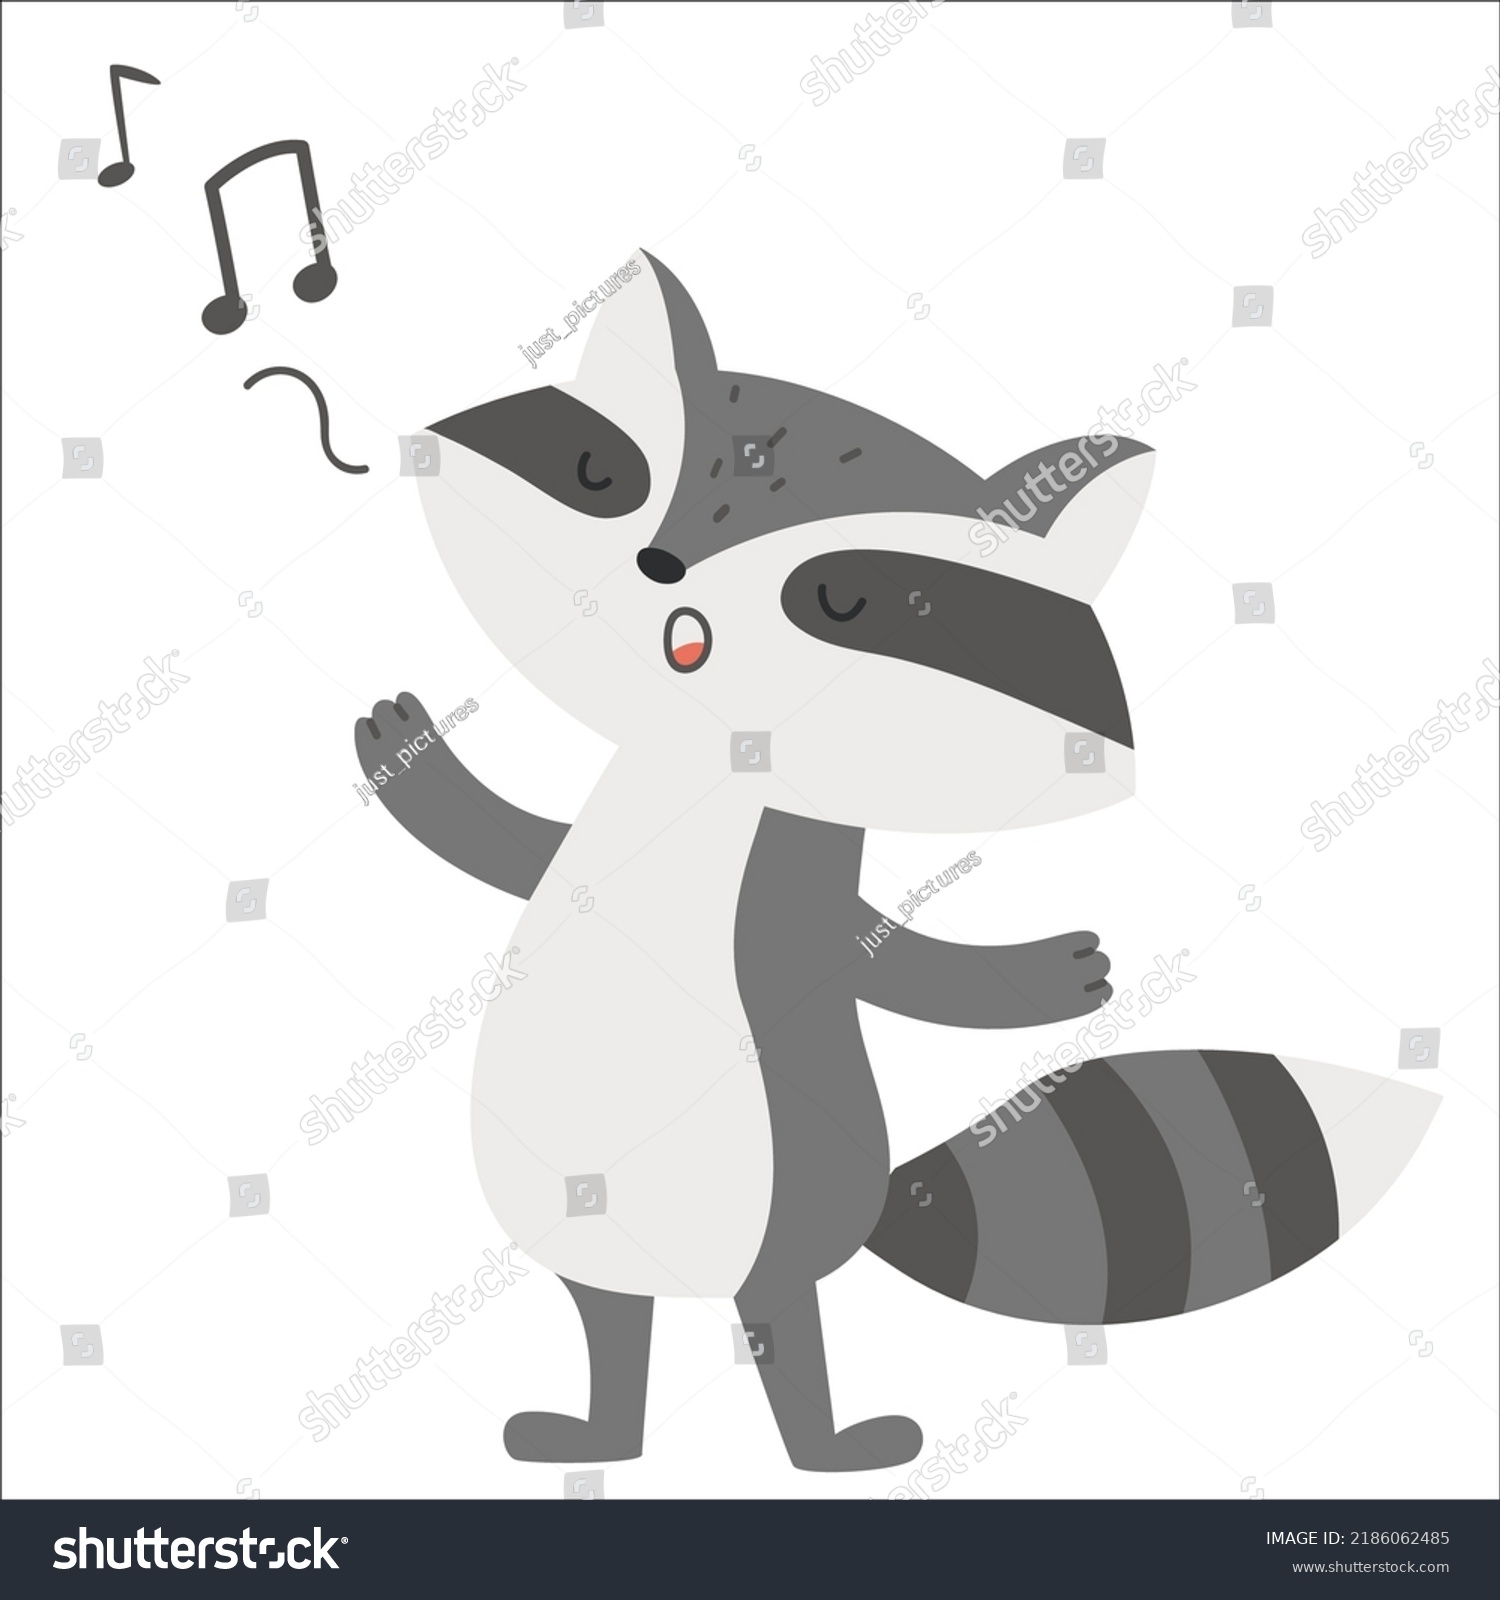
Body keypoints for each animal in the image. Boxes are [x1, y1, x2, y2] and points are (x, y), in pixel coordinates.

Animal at [356, 251, 1438, 1472]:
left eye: (841, 598)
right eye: (602, 474)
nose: (660, 569)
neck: (702, 779)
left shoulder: (799, 919)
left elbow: (884, 959)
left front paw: (1044, 975)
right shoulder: (581, 847)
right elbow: (516, 848)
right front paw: (408, 758)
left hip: (779, 1219)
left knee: (781, 1326)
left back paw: (829, 1446)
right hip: (587, 1228)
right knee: (610, 1320)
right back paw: (595, 1435)